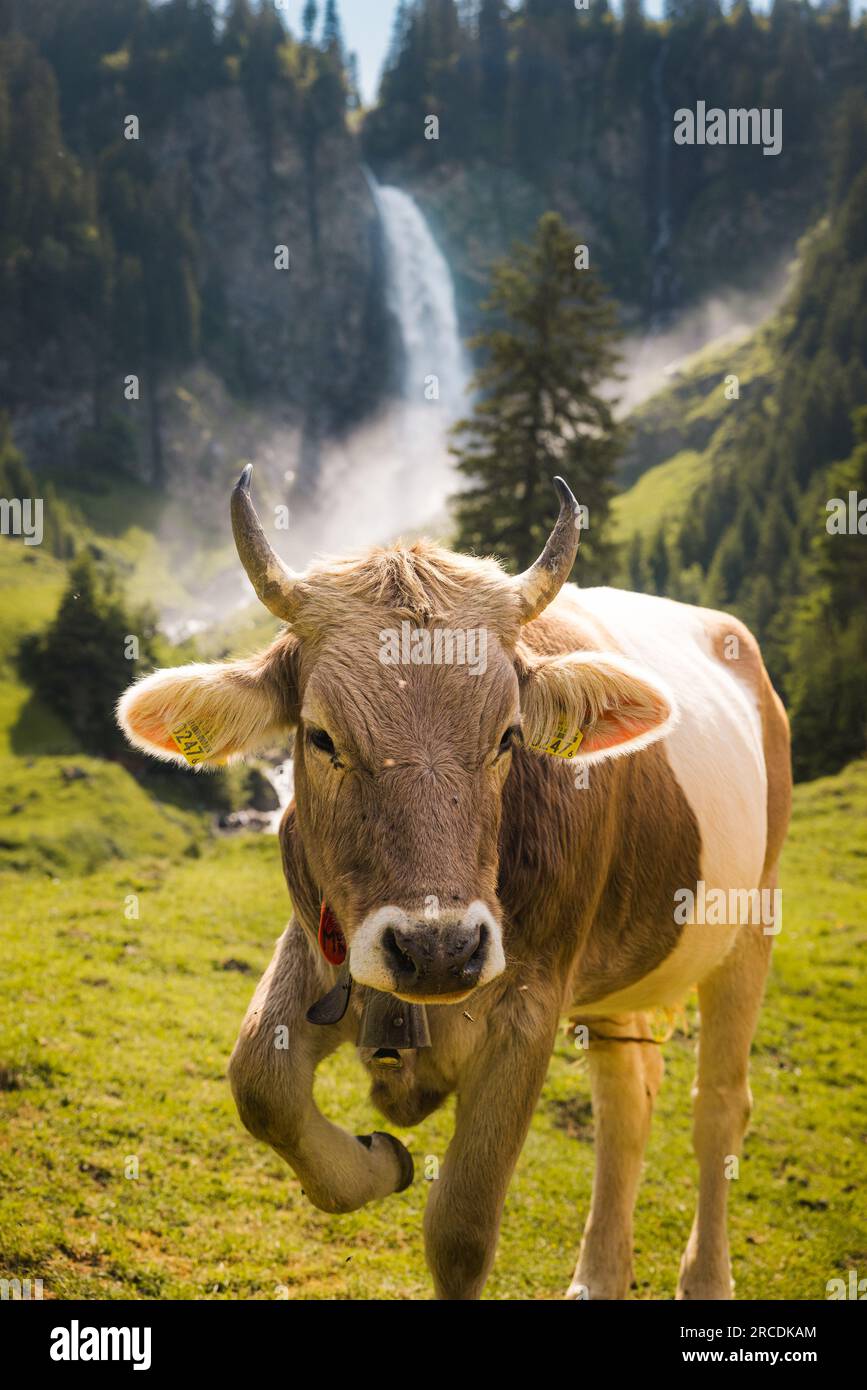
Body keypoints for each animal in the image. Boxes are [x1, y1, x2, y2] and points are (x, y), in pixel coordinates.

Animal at [117, 466, 791, 1301]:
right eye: (321, 736)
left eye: (507, 737)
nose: (437, 950)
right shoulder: (321, 947)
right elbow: (260, 1083)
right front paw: (374, 1163)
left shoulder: (529, 1007)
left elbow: (461, 1231)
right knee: (624, 1101)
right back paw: (598, 1275)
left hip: (749, 925)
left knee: (718, 1108)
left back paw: (703, 1278)